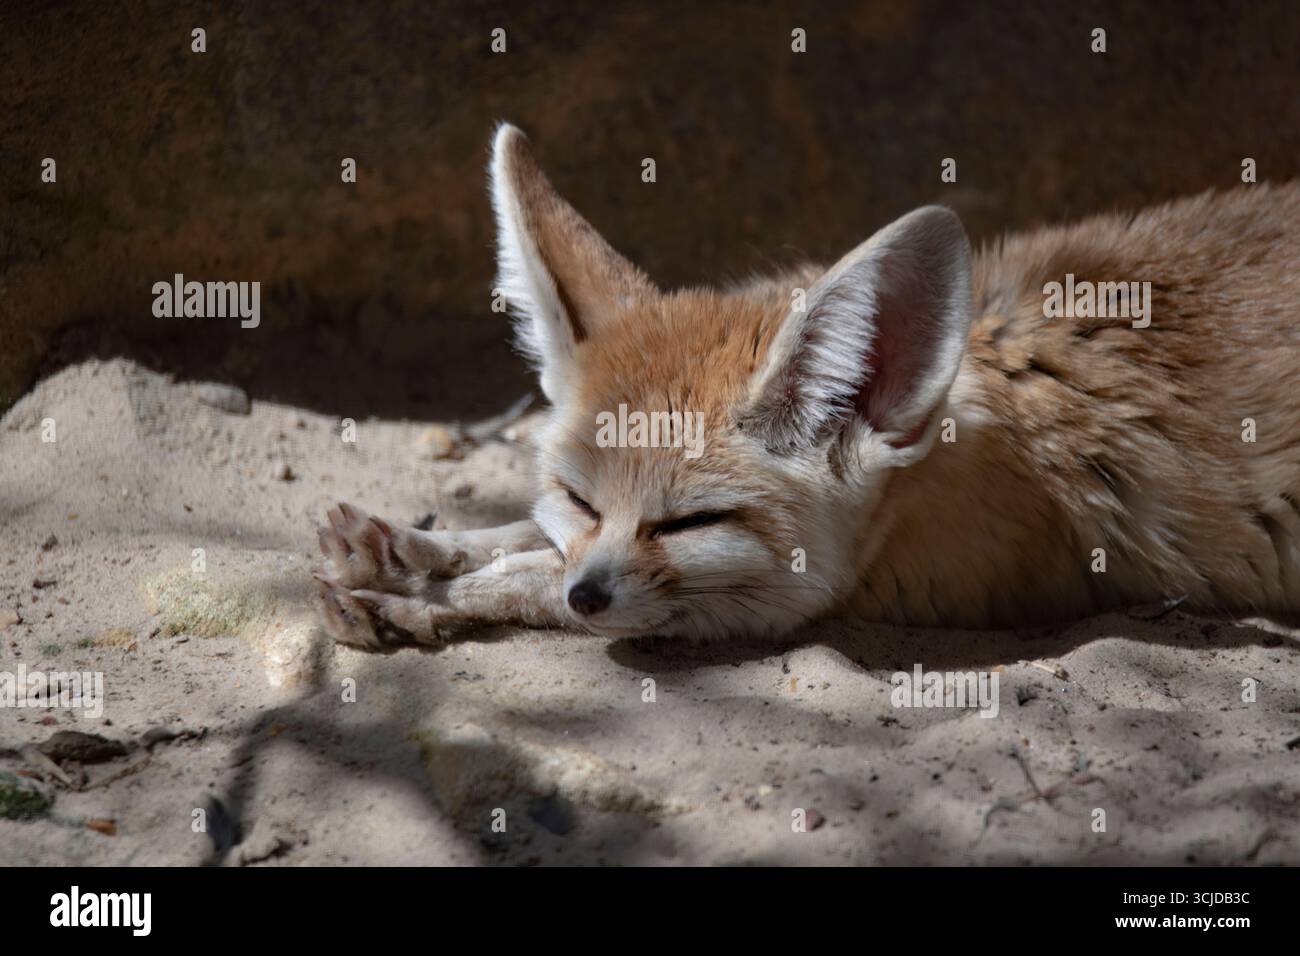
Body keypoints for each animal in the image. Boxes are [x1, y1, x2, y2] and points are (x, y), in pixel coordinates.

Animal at [314, 123, 1300, 648]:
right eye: (579, 497)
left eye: (692, 522)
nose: (589, 597)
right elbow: (527, 538)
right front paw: (412, 545)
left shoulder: (819, 600)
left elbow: (530, 575)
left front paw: (421, 598)